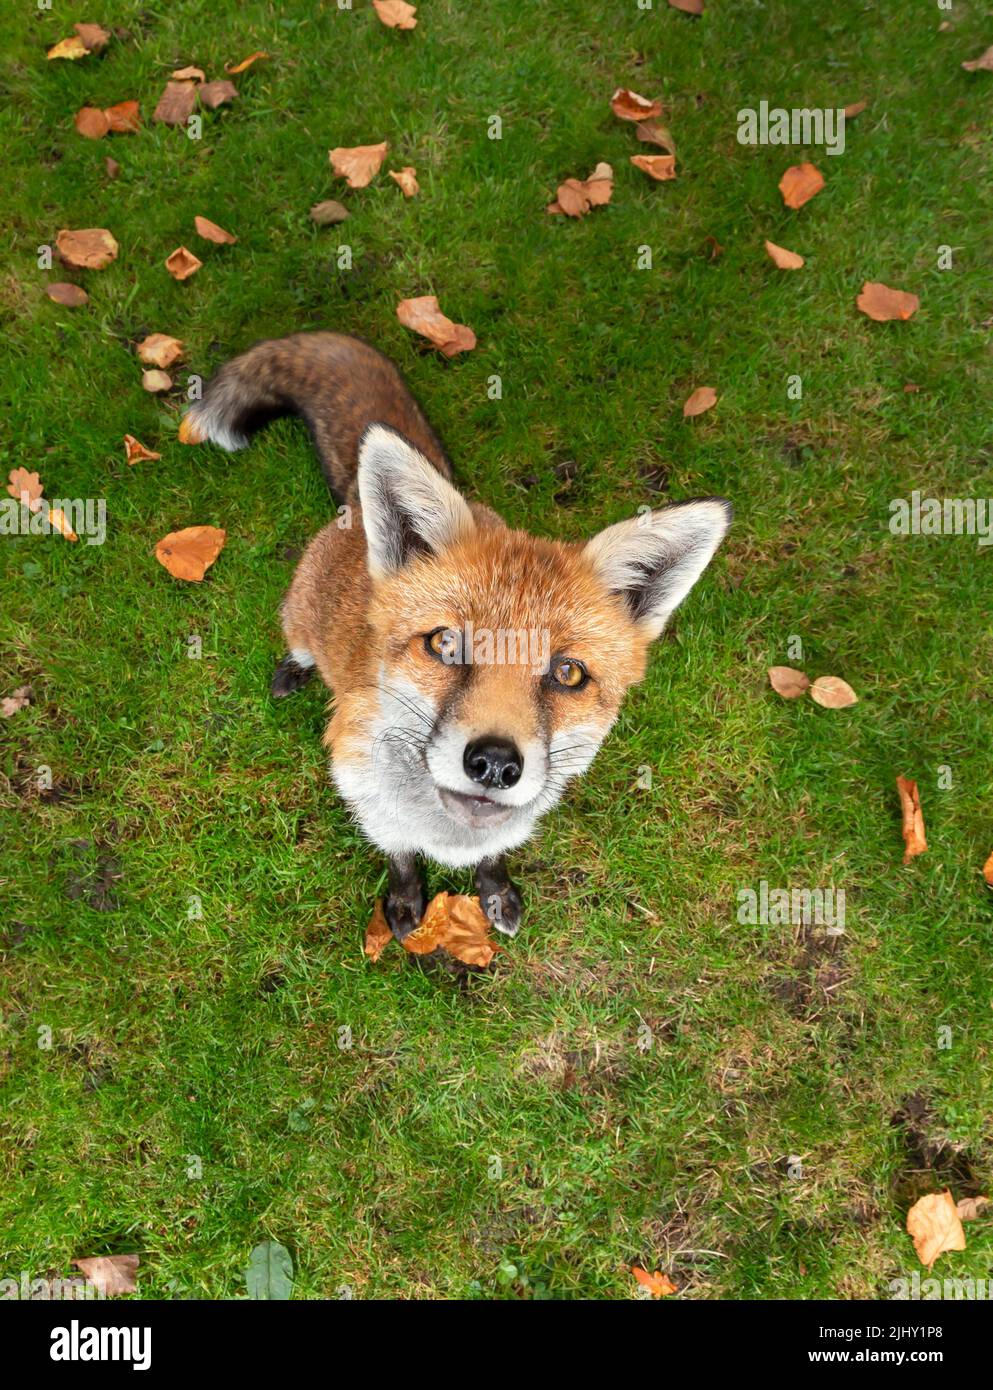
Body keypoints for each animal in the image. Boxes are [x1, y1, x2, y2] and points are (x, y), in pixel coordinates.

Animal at [183, 333, 731, 942]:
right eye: (444, 643)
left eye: (568, 672)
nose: (494, 764)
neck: (446, 834)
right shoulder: (371, 805)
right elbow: (400, 860)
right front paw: (404, 905)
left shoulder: (509, 826)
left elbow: (493, 860)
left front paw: (494, 893)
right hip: (299, 619)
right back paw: (293, 670)